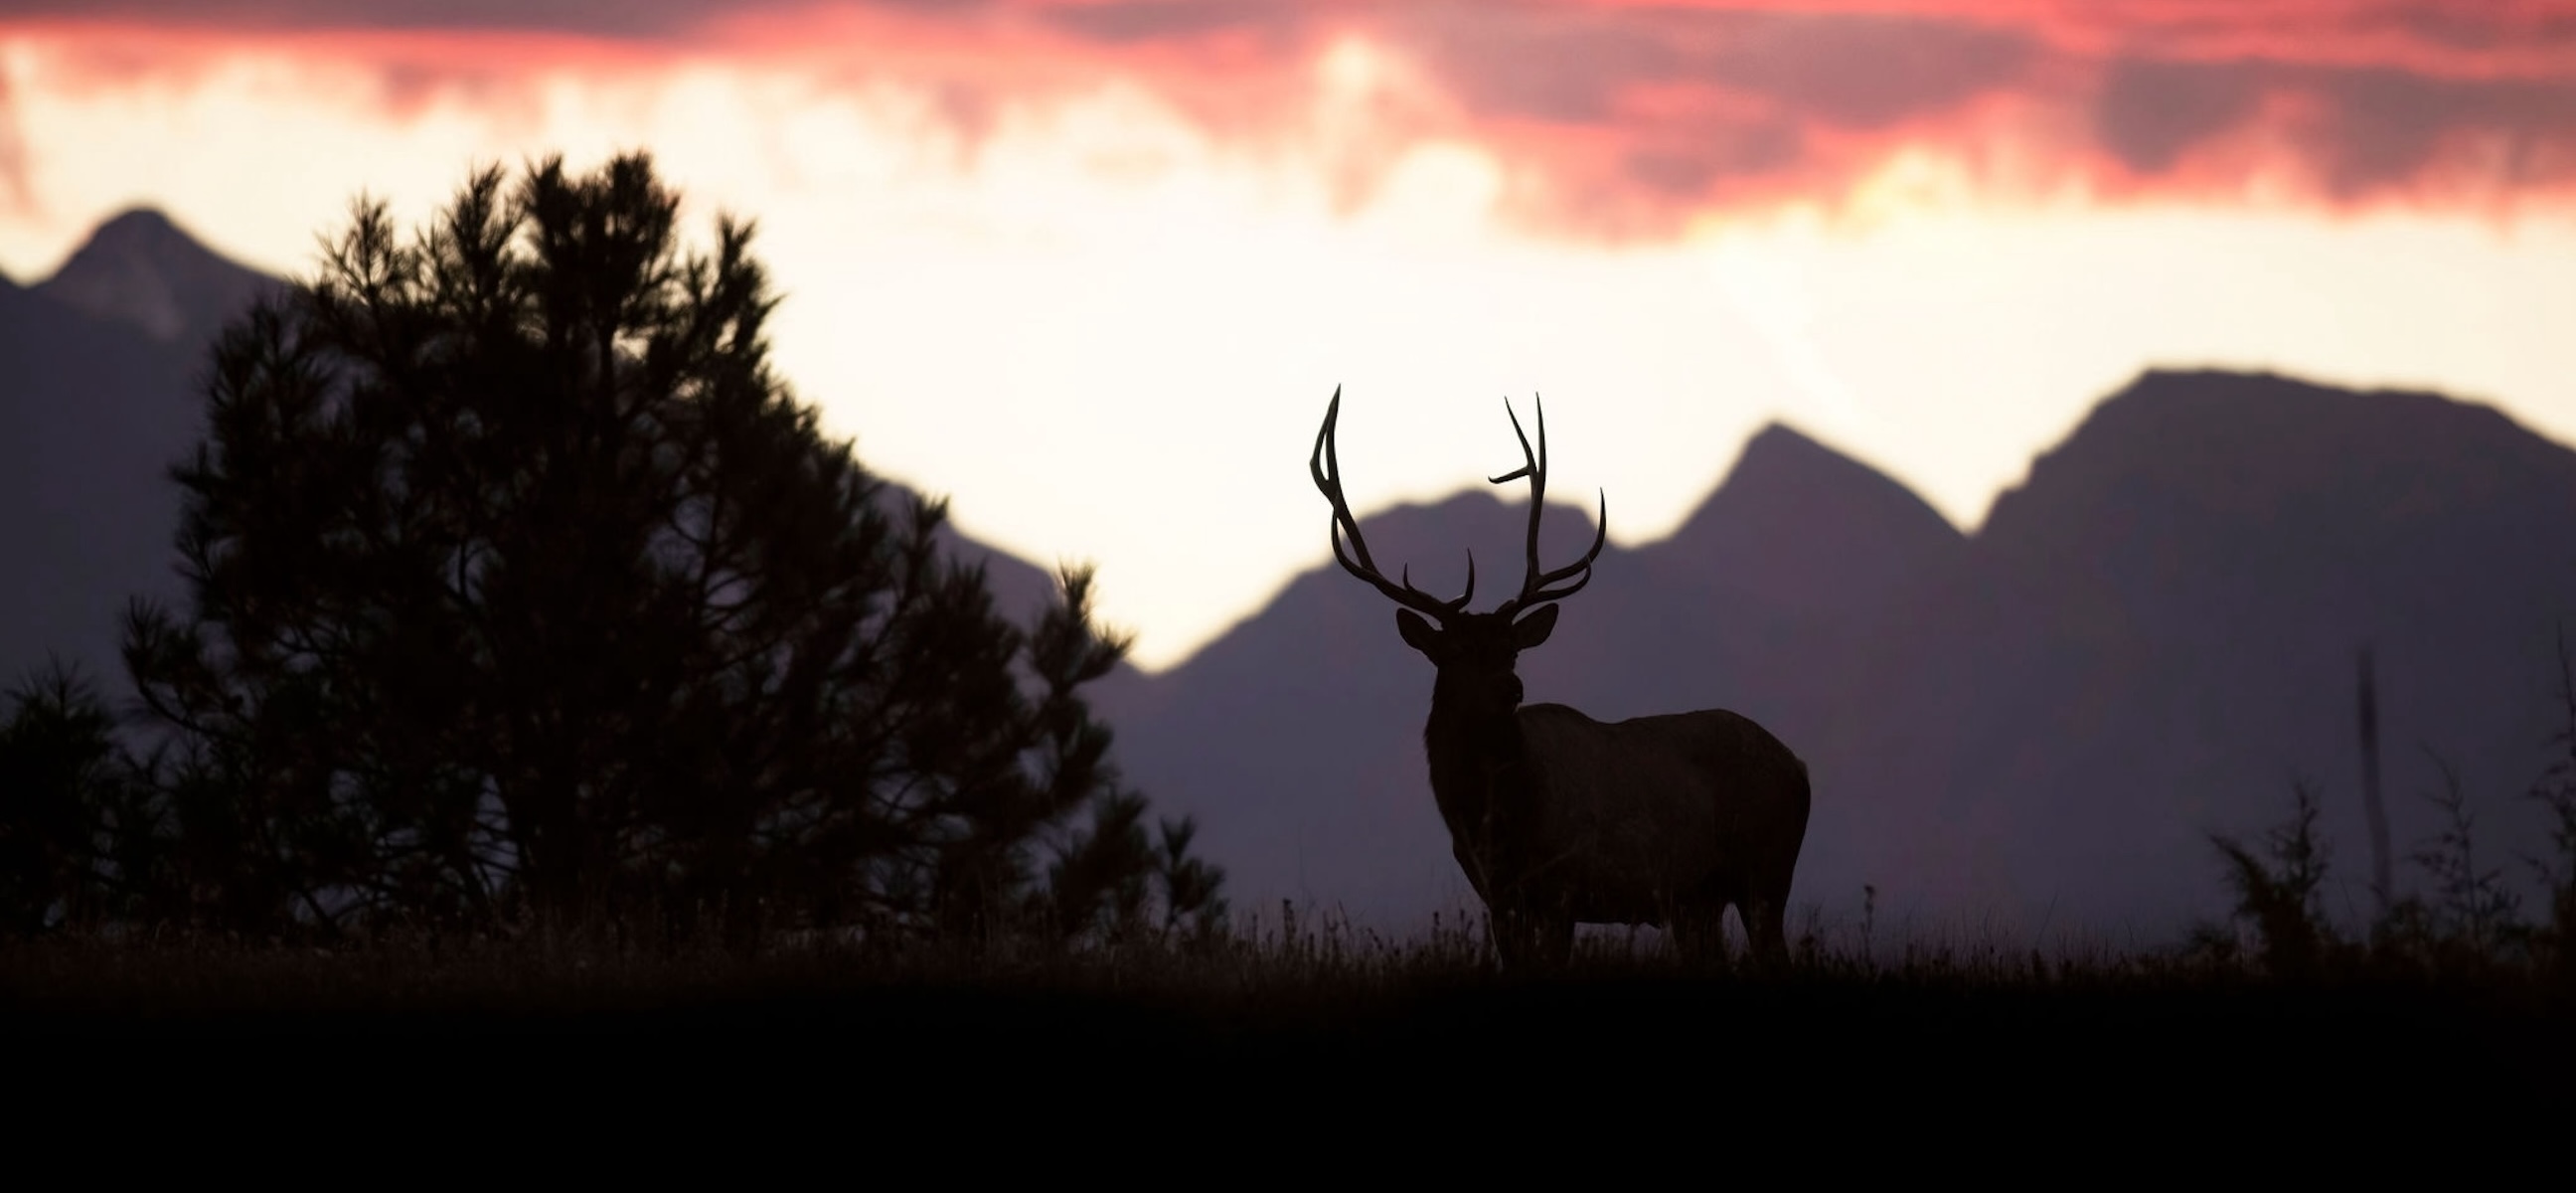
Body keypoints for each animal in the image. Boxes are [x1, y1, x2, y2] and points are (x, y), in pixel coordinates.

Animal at [1310, 386, 1812, 972]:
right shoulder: (1499, 896)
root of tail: (1800, 768)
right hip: (1699, 900)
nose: (1512, 690)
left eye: (1510, 651)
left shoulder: (1564, 886)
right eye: (1453, 652)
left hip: (1766, 872)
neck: (1493, 820)